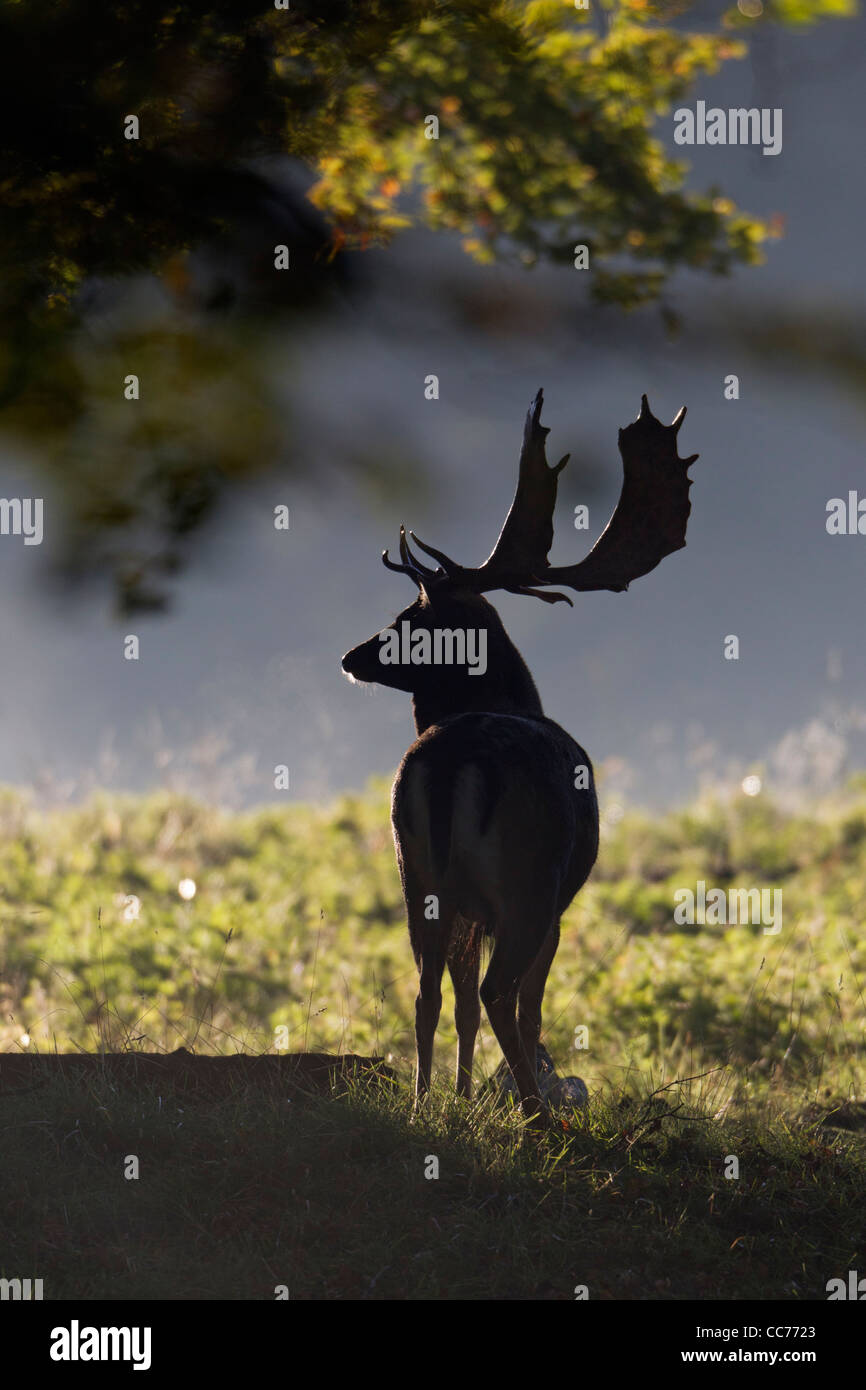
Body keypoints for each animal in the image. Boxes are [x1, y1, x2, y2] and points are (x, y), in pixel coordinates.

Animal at [341, 391, 698, 1126]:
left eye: (409, 618)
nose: (351, 656)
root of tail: (450, 764)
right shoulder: (555, 902)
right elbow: (527, 1008)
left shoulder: (464, 906)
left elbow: (456, 1001)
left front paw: (459, 1097)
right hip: (527, 883)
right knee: (500, 993)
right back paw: (537, 1115)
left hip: (415, 874)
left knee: (428, 989)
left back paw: (421, 1102)